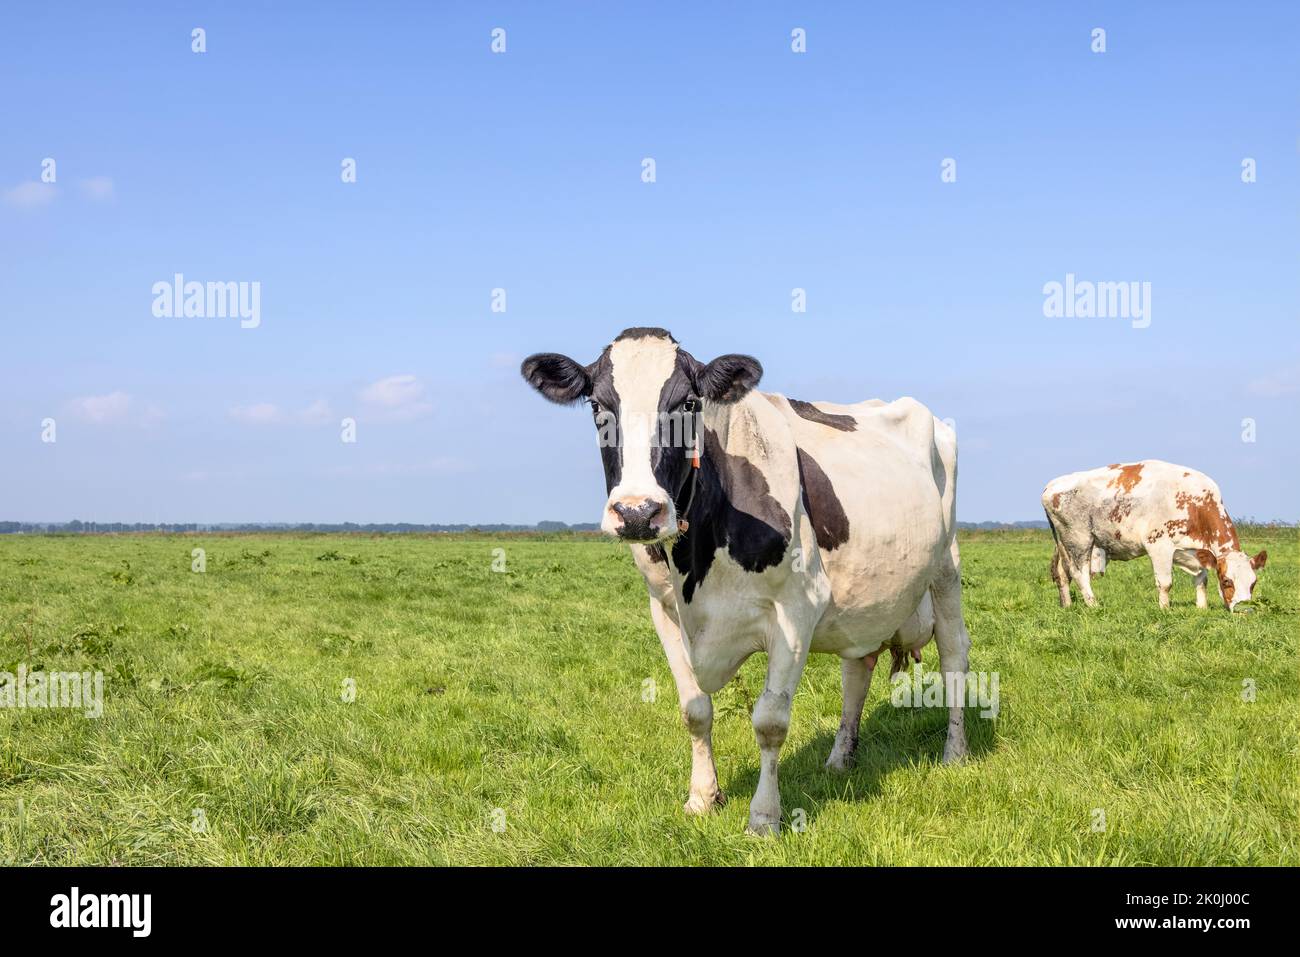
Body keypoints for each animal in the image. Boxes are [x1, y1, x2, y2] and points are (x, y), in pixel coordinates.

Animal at [521, 328, 972, 834]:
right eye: (599, 406)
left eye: (688, 403)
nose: (637, 512)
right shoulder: (663, 609)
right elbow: (695, 710)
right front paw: (702, 797)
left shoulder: (796, 608)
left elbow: (770, 721)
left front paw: (764, 817)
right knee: (857, 668)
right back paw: (839, 760)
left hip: (946, 566)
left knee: (954, 654)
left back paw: (955, 752)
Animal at [1042, 460, 1267, 611]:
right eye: (1227, 581)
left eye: (1253, 583)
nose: (1245, 610)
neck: (1196, 503)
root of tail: (1052, 485)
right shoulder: (1159, 545)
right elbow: (1165, 583)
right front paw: (1165, 609)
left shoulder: (1194, 551)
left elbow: (1202, 579)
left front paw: (1201, 607)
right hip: (1079, 539)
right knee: (1079, 573)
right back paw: (1093, 605)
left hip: (1063, 542)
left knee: (1062, 573)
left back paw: (1068, 605)